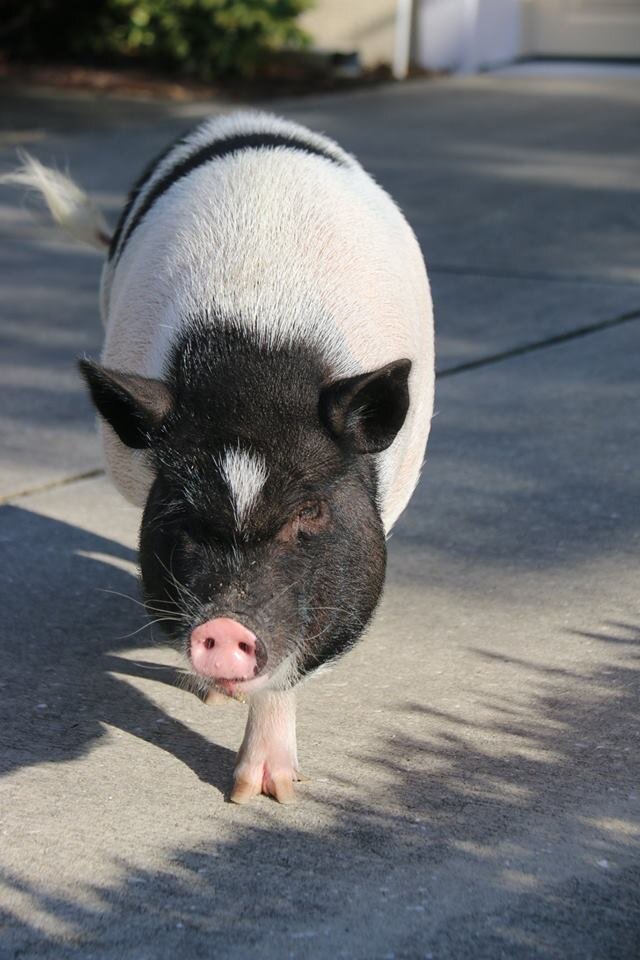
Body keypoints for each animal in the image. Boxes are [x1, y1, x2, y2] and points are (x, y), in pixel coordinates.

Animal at [3, 111, 434, 803]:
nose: (225, 629)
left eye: (309, 511)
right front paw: (234, 763)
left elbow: (291, 668)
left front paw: (266, 796)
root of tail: (248, 121)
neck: (256, 367)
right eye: (180, 513)